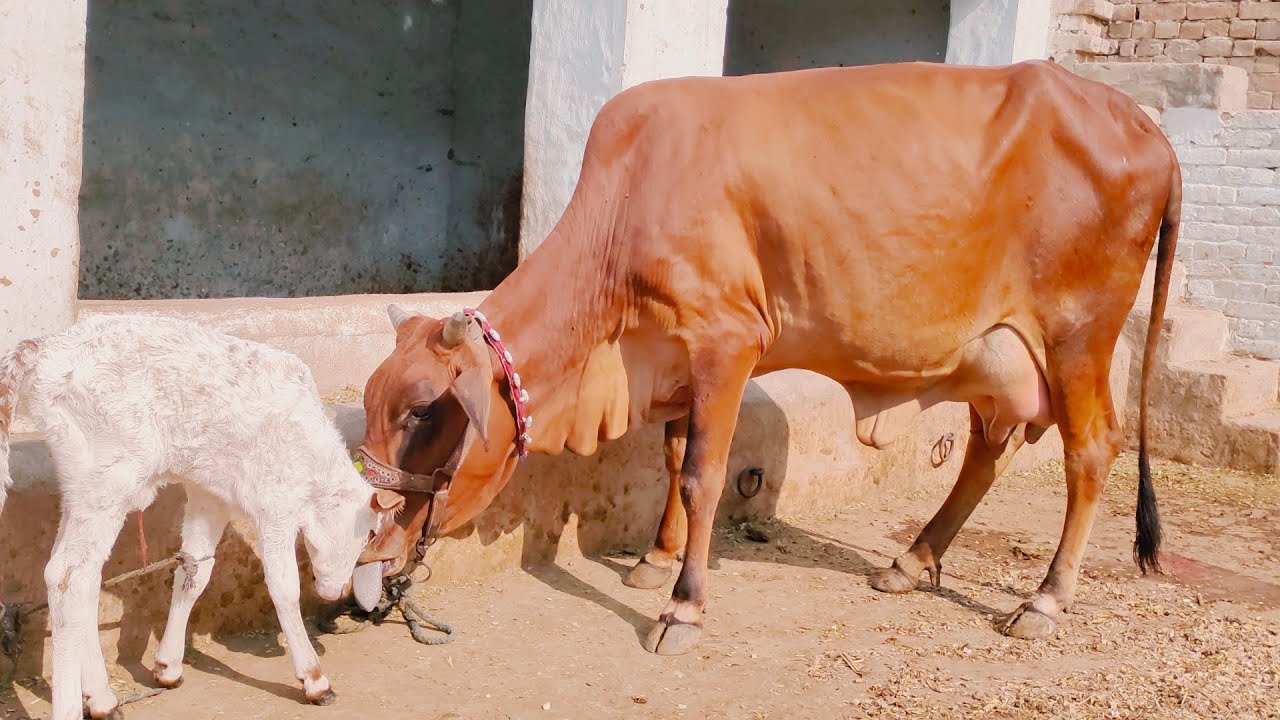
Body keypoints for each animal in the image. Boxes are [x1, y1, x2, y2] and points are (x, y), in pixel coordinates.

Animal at [353, 59, 1178, 656]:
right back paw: (909, 563)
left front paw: (682, 608)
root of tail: (1146, 127)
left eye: (423, 412)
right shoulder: (679, 354)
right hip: (996, 354)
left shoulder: (726, 341)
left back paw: (1044, 599)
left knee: (1090, 449)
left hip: (1076, 337)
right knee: (987, 450)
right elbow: (673, 452)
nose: (369, 554)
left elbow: (701, 473)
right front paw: (656, 558)